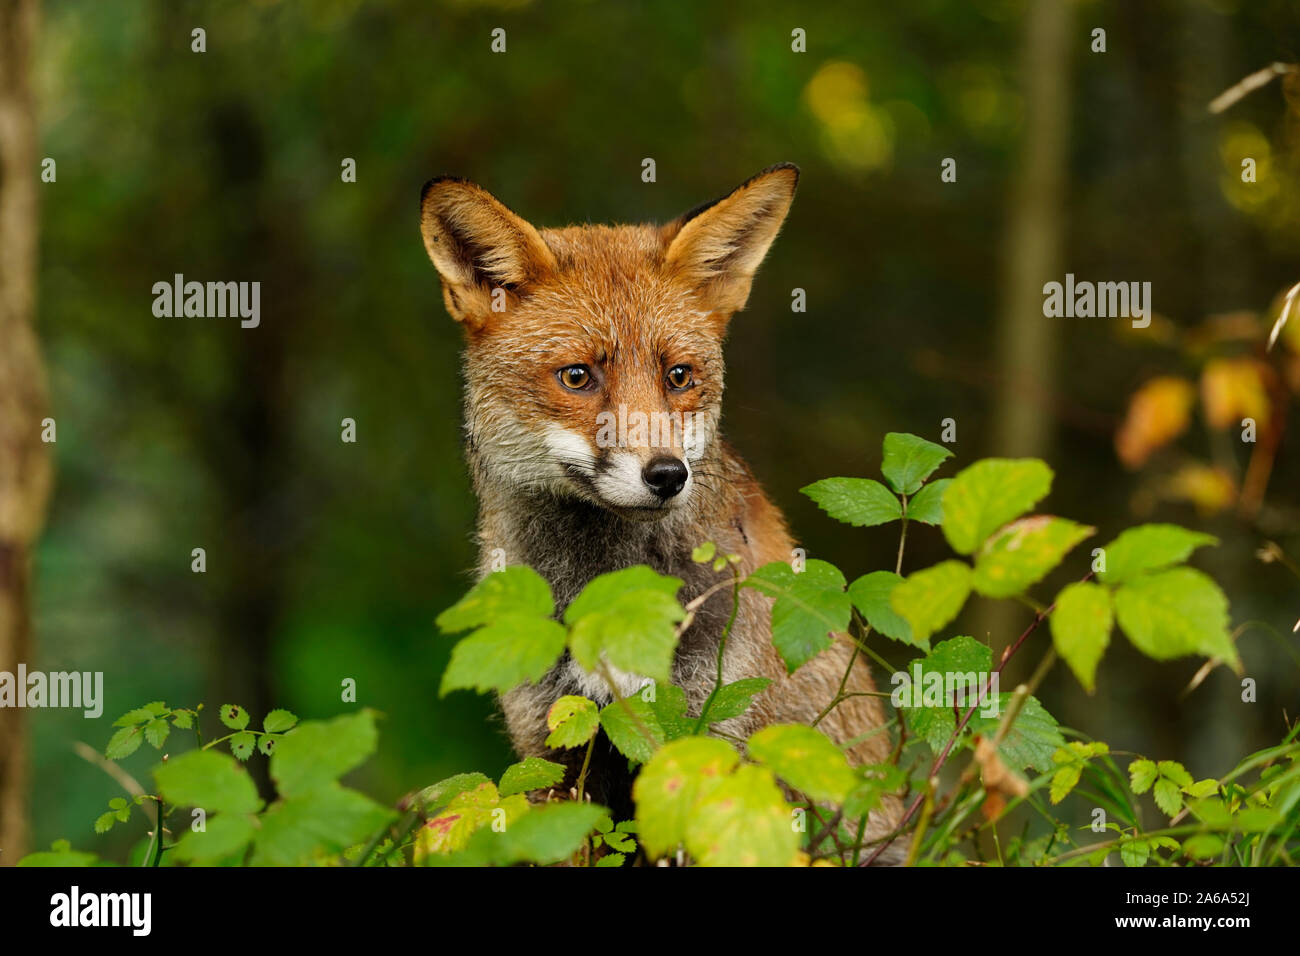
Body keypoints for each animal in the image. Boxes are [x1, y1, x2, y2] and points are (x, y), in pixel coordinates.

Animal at [419, 163, 900, 849]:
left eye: (678, 376)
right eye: (577, 377)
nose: (669, 474)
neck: (605, 589)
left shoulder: (710, 731)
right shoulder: (551, 744)